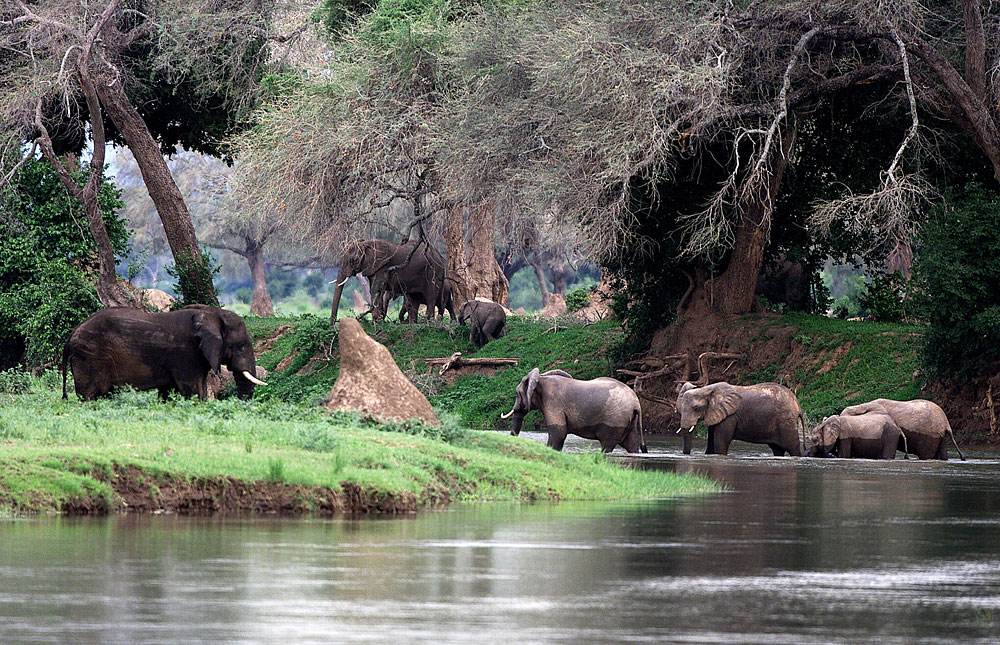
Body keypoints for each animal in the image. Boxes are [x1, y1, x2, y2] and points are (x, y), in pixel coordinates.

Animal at [61, 305, 266, 401]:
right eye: (241, 345)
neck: (211, 314)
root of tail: (72, 333)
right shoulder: (186, 354)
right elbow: (194, 391)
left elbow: (169, 393)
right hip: (89, 356)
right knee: (89, 395)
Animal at [502, 368, 648, 453]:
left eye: (516, 393)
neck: (541, 378)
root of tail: (636, 404)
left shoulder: (553, 402)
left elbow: (558, 432)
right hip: (629, 420)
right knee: (631, 445)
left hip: (615, 419)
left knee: (607, 445)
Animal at [676, 381, 804, 456]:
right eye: (679, 410)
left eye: (696, 408)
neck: (706, 389)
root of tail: (798, 406)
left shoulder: (729, 417)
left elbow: (720, 443)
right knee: (778, 449)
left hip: (786, 420)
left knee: (793, 448)